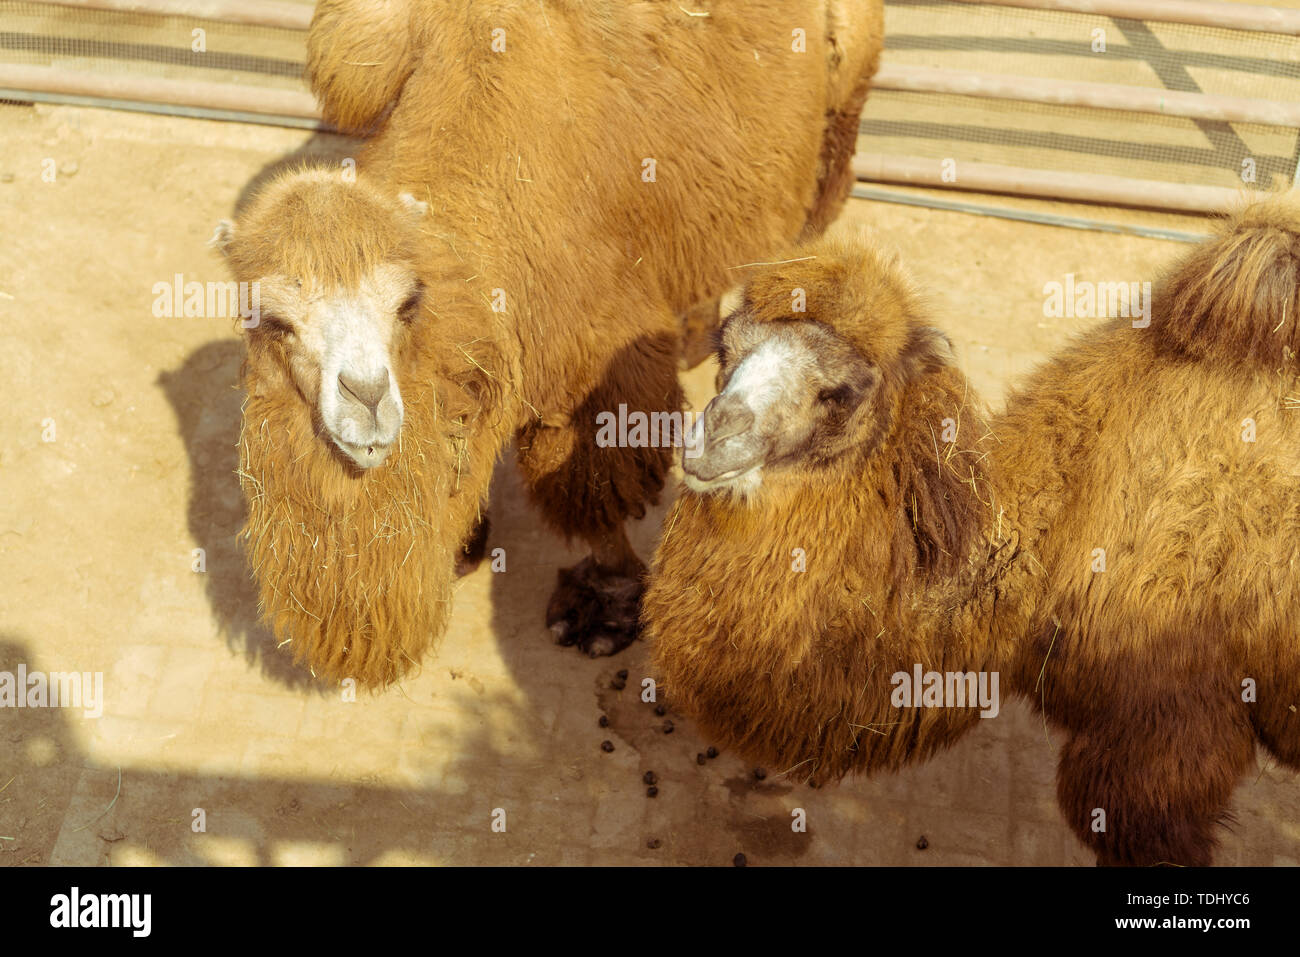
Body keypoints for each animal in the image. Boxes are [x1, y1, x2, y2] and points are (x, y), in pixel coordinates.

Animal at [216, 1, 885, 685]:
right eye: (273, 320)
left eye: (406, 304)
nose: (365, 398)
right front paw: (468, 540)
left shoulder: (601, 367)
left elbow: (597, 485)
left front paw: (603, 611)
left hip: (849, 80)